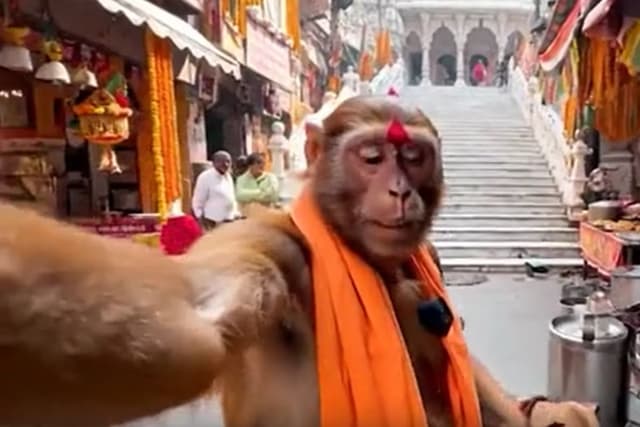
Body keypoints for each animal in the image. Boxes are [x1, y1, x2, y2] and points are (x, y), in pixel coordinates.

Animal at [0, 95, 597, 427]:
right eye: (372, 158)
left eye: (413, 156)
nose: (401, 190)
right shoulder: (271, 245)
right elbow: (192, 311)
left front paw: (552, 413)